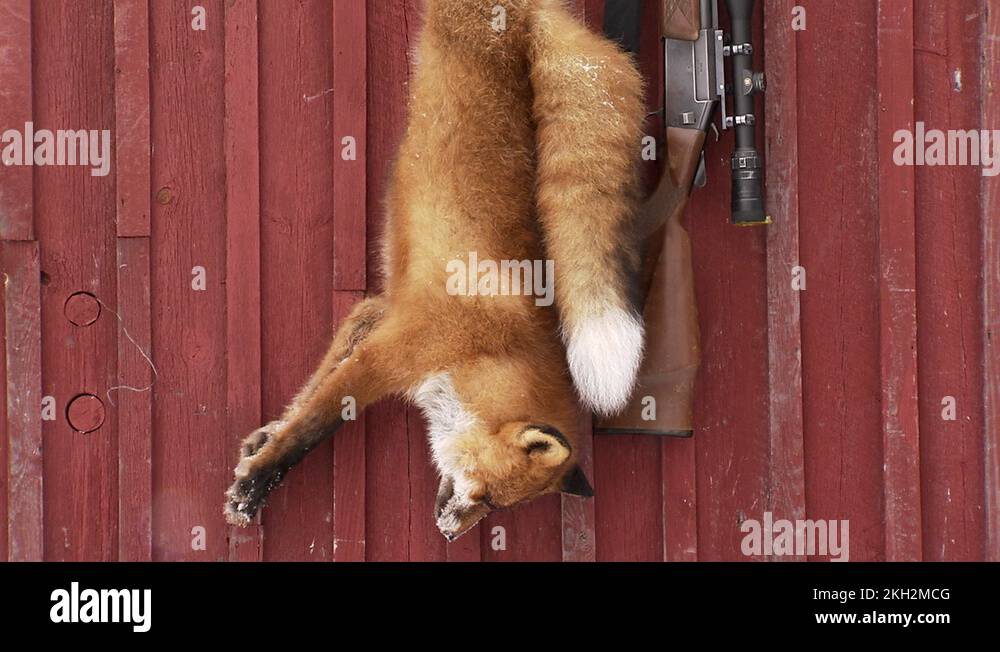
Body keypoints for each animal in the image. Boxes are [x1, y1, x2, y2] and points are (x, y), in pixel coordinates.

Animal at [224, 0, 646, 541]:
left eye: (495, 507)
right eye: (487, 496)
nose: (448, 534)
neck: (484, 354)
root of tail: (534, 10)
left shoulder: (373, 315)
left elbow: (308, 392)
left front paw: (261, 443)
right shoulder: (387, 356)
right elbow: (313, 428)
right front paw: (256, 485)